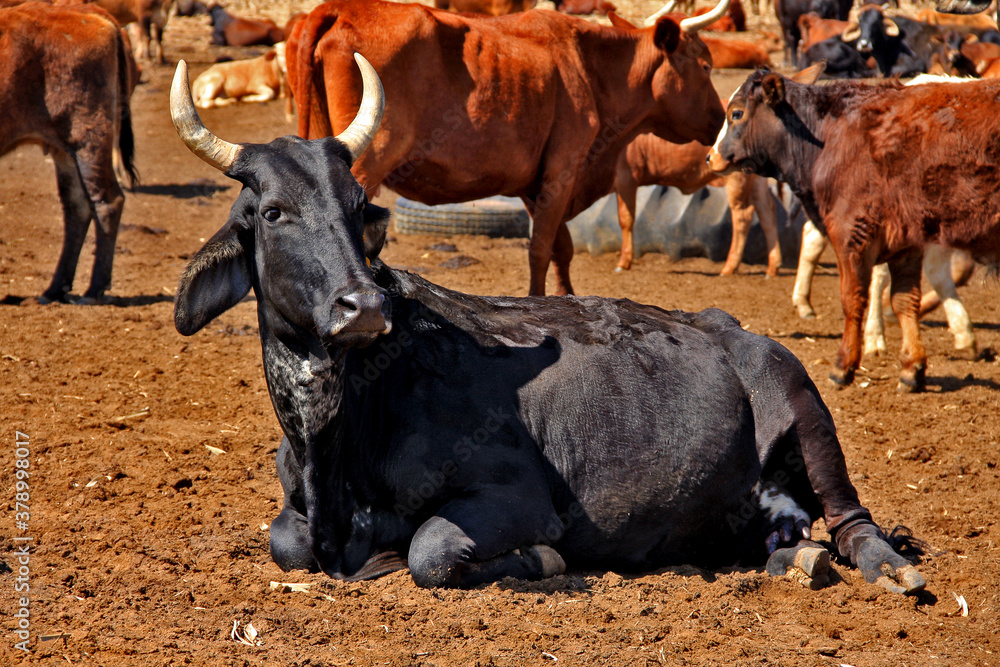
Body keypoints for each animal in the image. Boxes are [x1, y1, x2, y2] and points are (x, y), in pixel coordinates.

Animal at [1, 2, 137, 304]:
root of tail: (91, 13)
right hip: (64, 151)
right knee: (77, 206)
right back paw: (54, 289)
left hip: (88, 141)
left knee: (107, 201)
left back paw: (94, 290)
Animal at [287, 0, 730, 296]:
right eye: (705, 65)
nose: (720, 119)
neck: (590, 65)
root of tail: (336, 8)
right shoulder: (564, 168)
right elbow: (541, 249)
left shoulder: (537, 183)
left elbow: (562, 248)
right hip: (366, 159)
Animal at [613, 133, 781, 276]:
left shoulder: (625, 176)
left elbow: (625, 219)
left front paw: (623, 262)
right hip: (756, 179)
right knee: (767, 210)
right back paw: (772, 267)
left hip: (737, 177)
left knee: (742, 214)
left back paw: (728, 267)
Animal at [709, 67, 1000, 391]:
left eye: (736, 113)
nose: (711, 156)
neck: (831, 135)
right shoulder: (907, 243)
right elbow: (904, 300)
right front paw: (912, 368)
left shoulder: (852, 233)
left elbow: (852, 299)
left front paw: (844, 366)